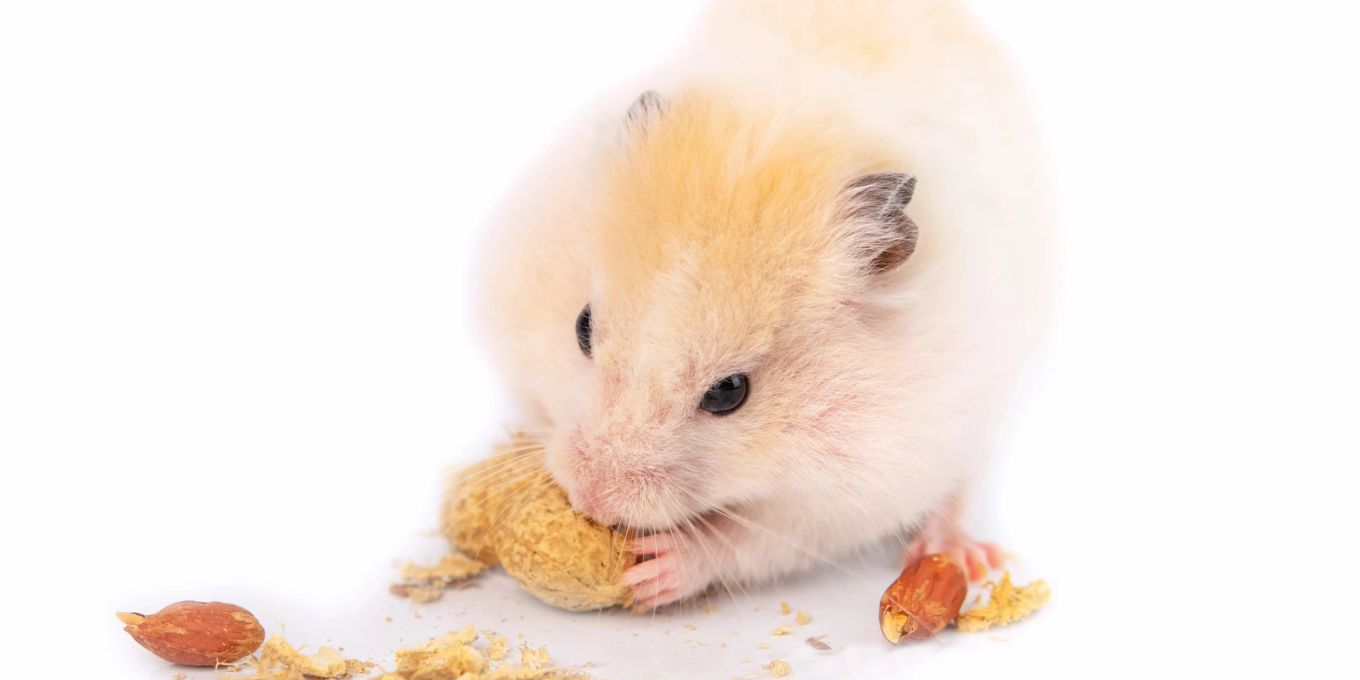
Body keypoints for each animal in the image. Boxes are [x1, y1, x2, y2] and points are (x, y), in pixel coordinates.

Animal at [473, 0, 1049, 610]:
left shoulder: (853, 495)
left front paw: (656, 572)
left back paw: (963, 551)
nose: (591, 500)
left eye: (730, 392)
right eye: (582, 328)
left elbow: (755, 541)